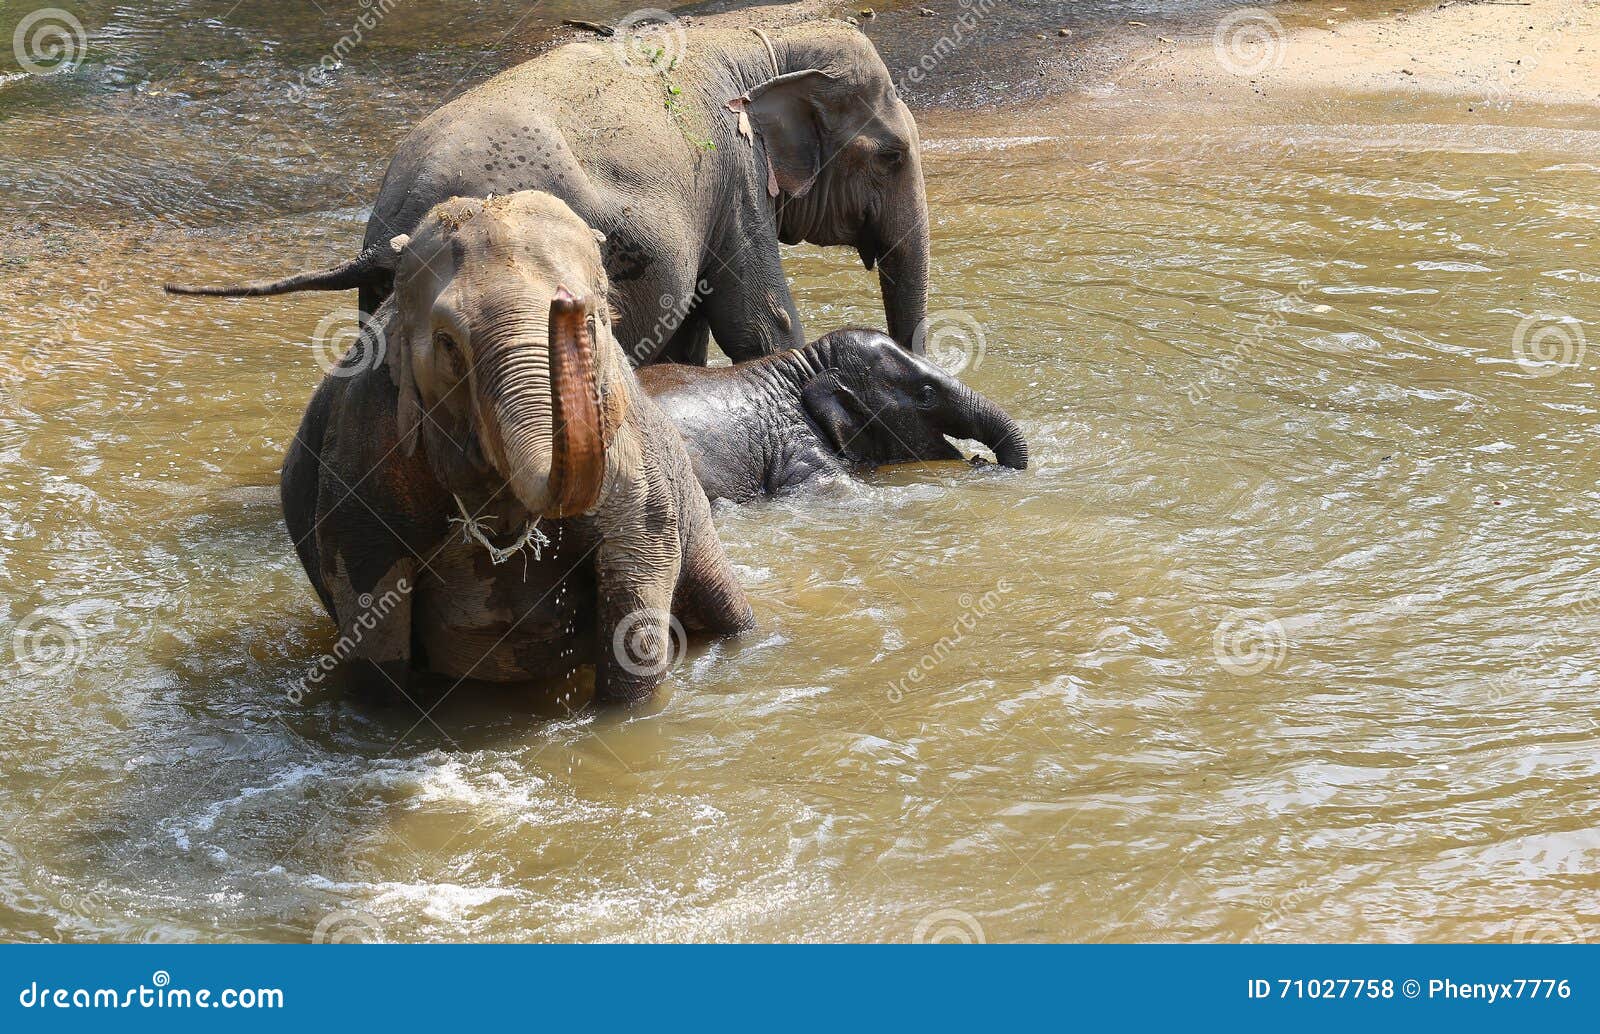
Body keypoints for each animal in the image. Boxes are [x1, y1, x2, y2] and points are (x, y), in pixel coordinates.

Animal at [279, 191, 753, 705]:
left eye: (592, 322)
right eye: (447, 344)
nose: (566, 301)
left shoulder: (629, 460)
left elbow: (640, 564)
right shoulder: (365, 452)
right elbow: (373, 623)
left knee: (726, 606)